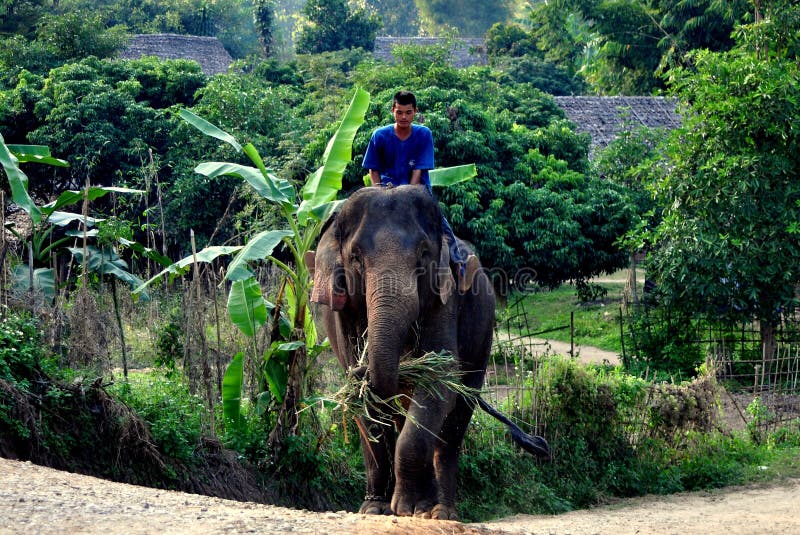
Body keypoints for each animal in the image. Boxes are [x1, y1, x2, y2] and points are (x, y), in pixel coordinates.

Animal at [306, 185, 549, 520]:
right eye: (355, 257)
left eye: (423, 253)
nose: (363, 366)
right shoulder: (343, 313)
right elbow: (362, 400)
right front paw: (375, 509)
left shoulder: (446, 297)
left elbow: (438, 379)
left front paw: (407, 508)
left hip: (482, 337)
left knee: (453, 423)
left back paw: (439, 512)